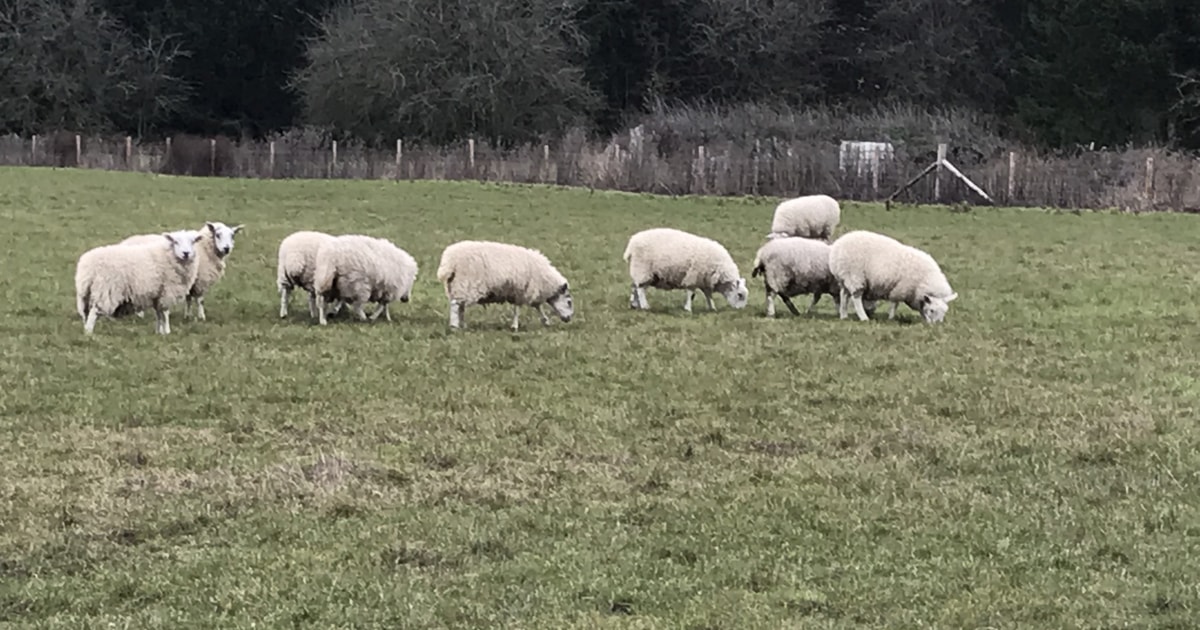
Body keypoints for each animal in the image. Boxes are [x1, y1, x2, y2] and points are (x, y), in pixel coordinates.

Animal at [74, 229, 203, 335]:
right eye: (175, 242)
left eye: (193, 241)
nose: (186, 253)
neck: (167, 255)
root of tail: (87, 267)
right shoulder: (167, 291)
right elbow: (165, 313)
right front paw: (167, 331)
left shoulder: (157, 294)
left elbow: (159, 314)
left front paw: (159, 332)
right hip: (107, 289)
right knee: (94, 313)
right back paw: (89, 333)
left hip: (85, 293)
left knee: (86, 313)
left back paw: (85, 331)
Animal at [436, 240, 574, 332]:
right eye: (569, 302)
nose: (569, 319)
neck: (546, 280)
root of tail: (450, 260)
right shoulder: (521, 290)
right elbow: (518, 309)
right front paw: (515, 326)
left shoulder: (526, 291)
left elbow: (538, 307)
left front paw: (545, 321)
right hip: (466, 284)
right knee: (455, 305)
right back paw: (454, 326)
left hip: (458, 286)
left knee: (461, 306)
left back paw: (462, 324)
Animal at [828, 230, 958, 323]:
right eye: (932, 310)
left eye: (945, 311)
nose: (937, 325)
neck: (925, 279)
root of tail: (838, 245)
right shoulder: (901, 289)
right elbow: (895, 304)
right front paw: (891, 318)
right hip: (855, 277)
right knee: (856, 298)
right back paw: (864, 317)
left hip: (845, 278)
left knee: (844, 295)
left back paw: (844, 315)